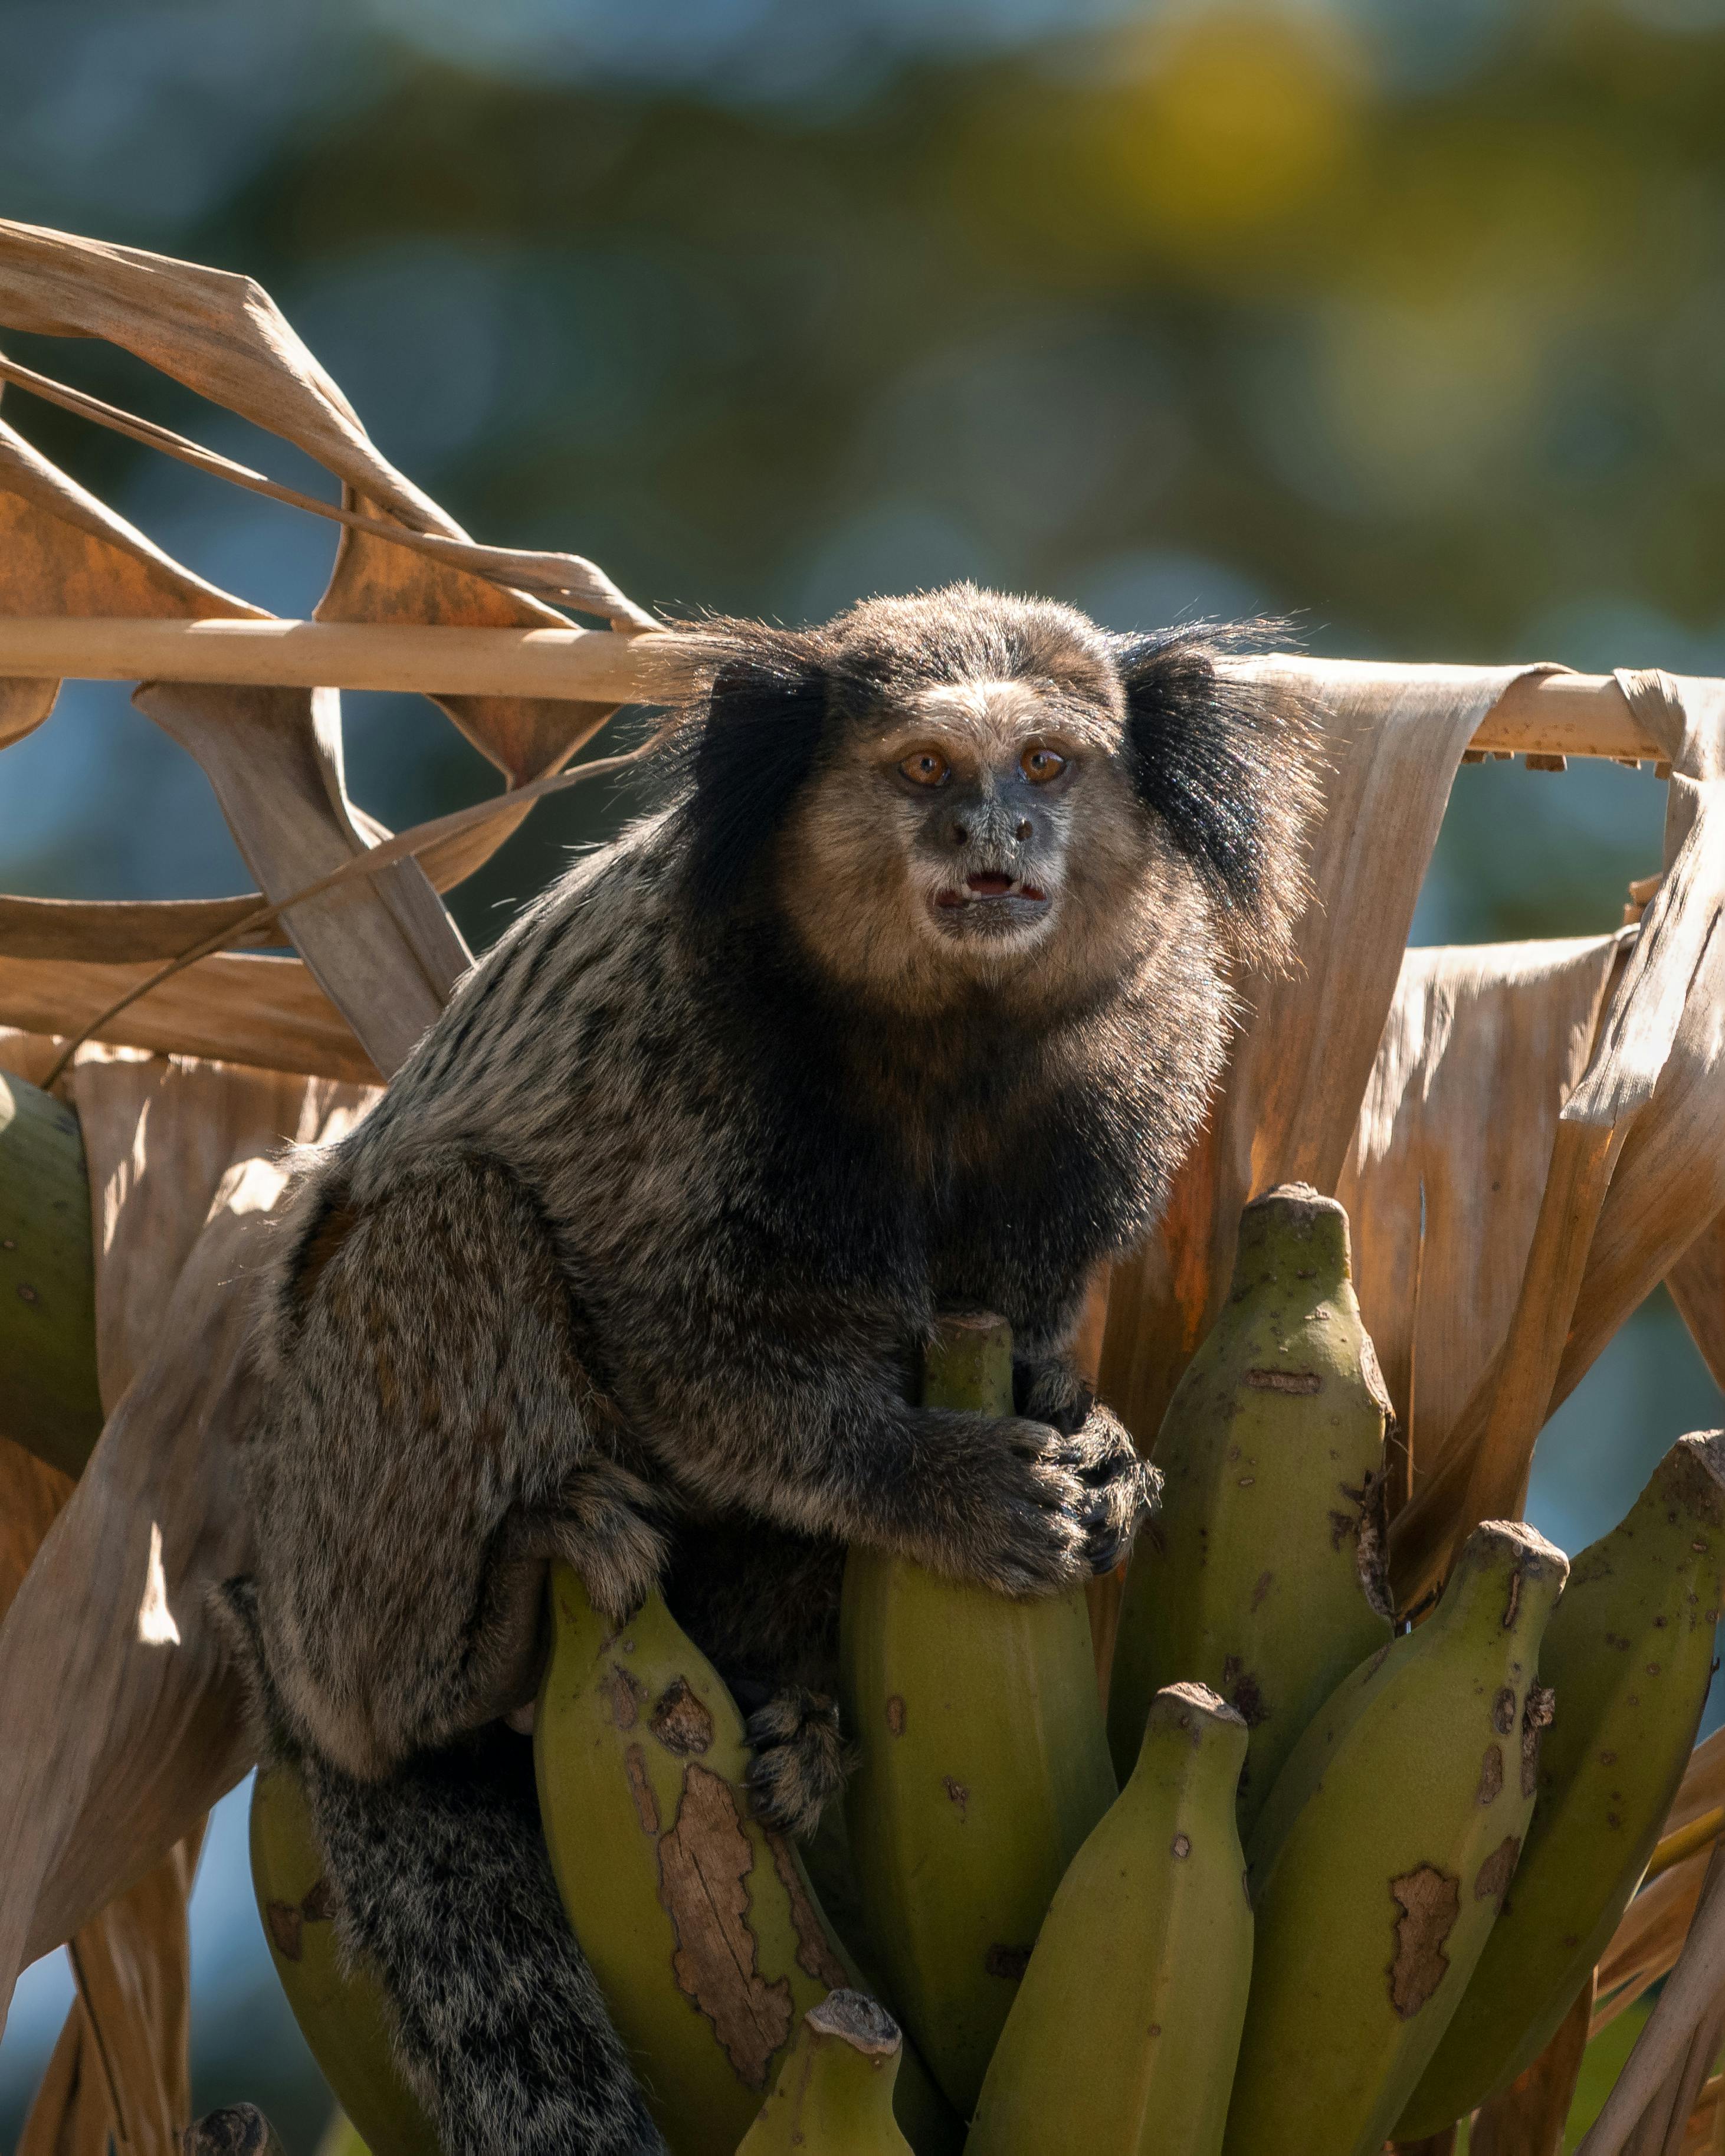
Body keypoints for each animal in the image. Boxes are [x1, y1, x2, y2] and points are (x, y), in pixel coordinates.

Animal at [216, 584, 1318, 2156]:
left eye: (1047, 766)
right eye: (925, 770)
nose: (994, 831)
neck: (940, 1043)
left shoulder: (1136, 1056)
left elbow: (1023, 1327)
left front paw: (1093, 1438)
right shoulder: (672, 1046)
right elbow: (678, 1346)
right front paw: (940, 1484)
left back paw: (790, 1713)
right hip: (320, 1549)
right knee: (451, 1221)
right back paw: (470, 1651)